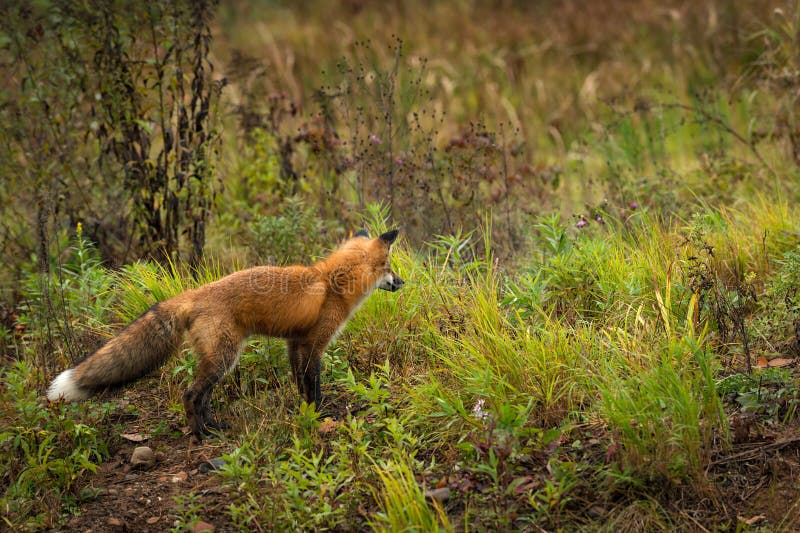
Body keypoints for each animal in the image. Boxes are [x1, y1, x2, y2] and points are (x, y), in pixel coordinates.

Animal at [47, 229, 404, 439]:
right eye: (389, 268)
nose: (402, 282)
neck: (332, 282)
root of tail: (194, 293)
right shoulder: (314, 344)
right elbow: (313, 385)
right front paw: (320, 415)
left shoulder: (295, 344)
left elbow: (300, 384)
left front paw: (305, 413)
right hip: (225, 356)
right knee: (191, 394)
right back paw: (201, 434)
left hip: (220, 358)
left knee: (203, 396)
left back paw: (213, 426)